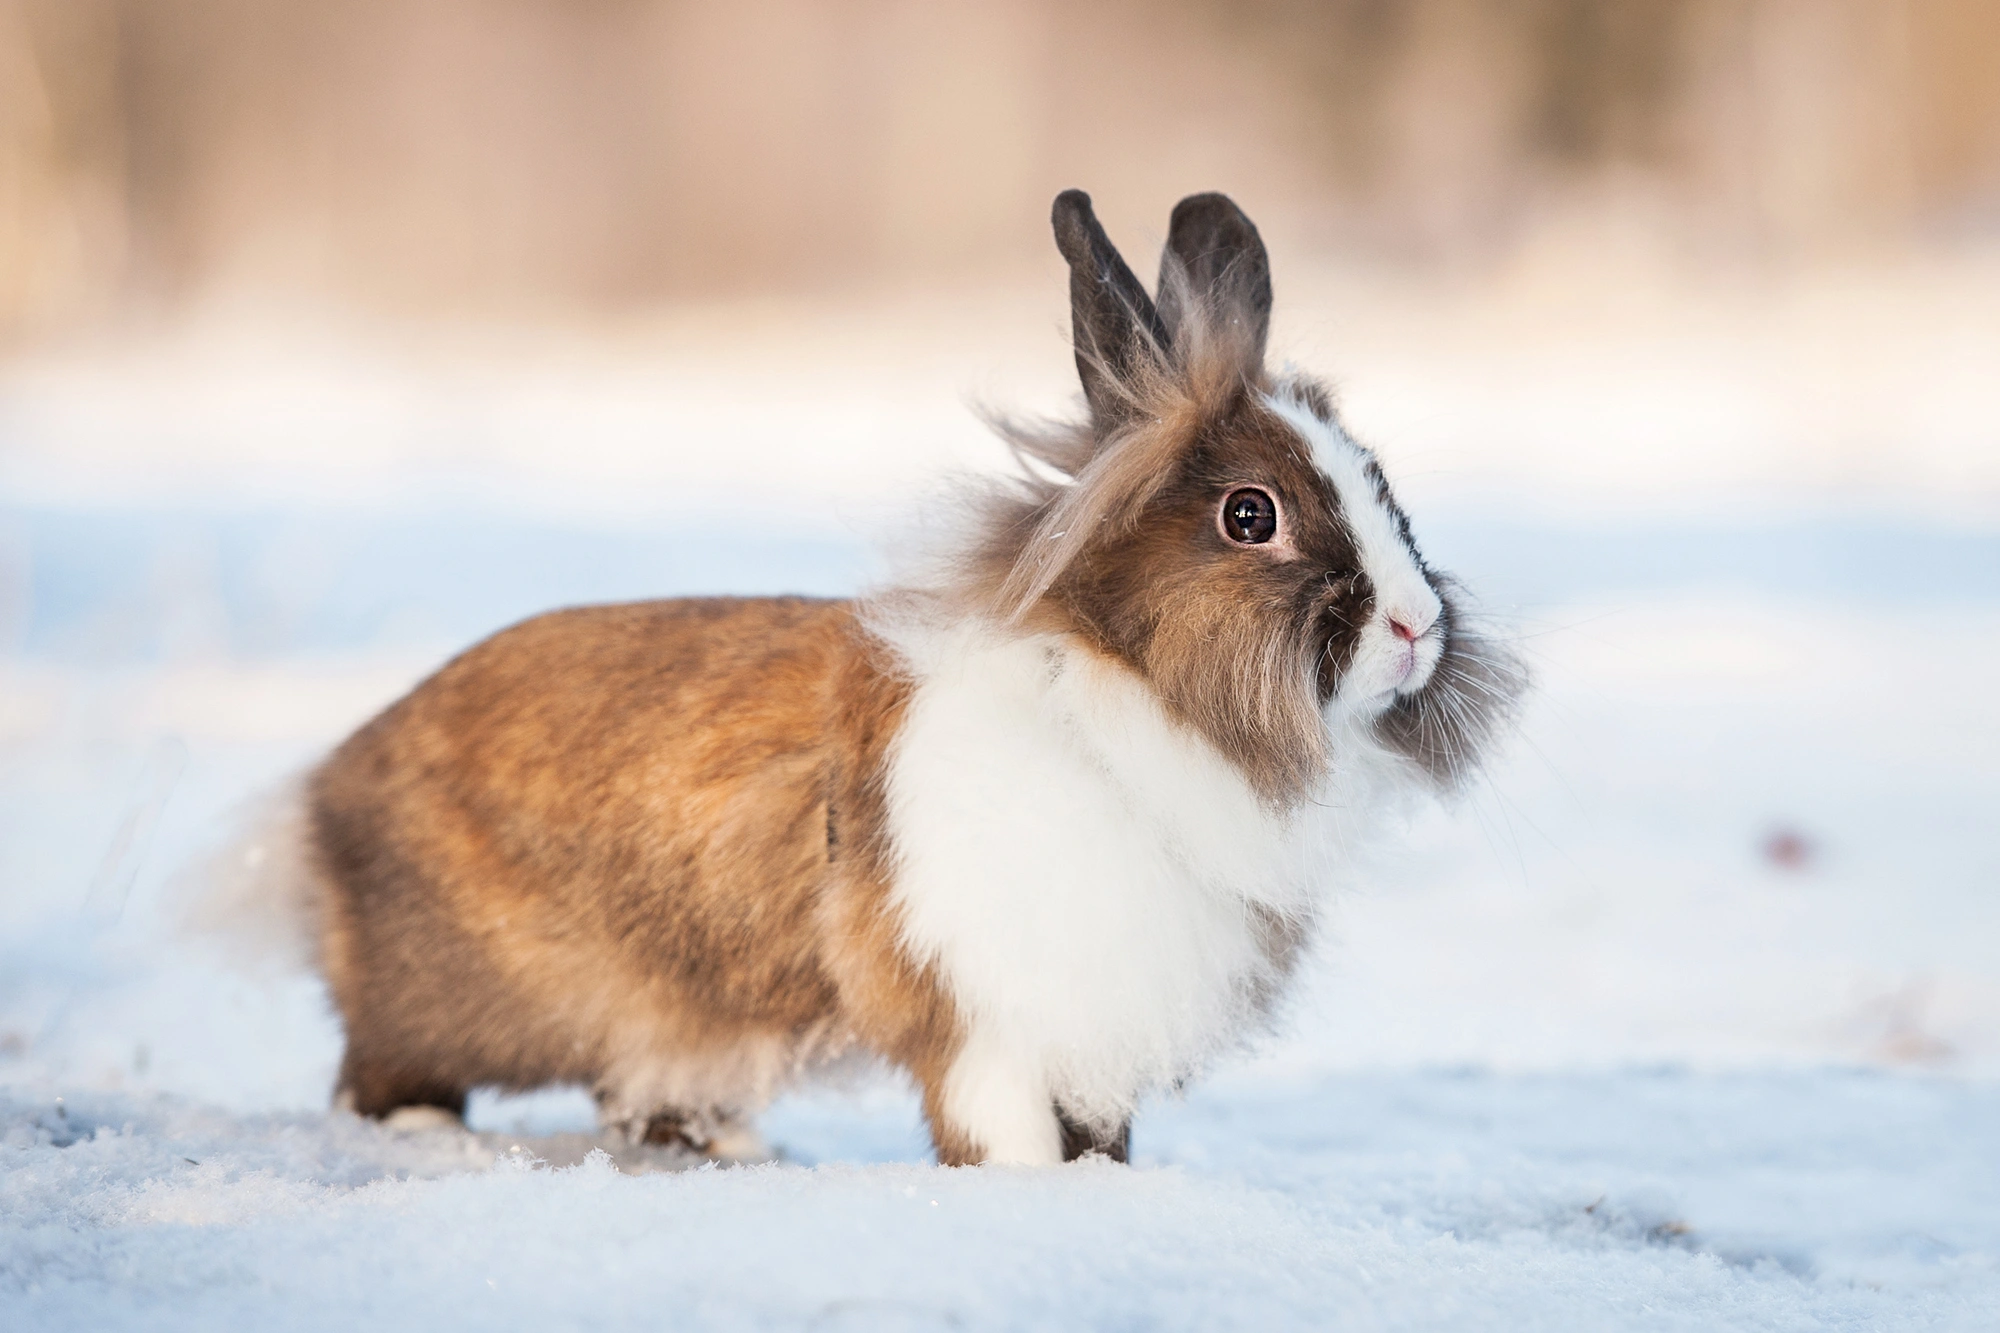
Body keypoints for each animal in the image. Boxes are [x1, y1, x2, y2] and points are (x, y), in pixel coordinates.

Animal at [305, 189, 1525, 1166]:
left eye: (1378, 479)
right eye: (1249, 515)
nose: (1416, 626)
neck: (1115, 702)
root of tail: (329, 782)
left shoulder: (1098, 1030)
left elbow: (1100, 1136)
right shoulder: (981, 1022)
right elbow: (1001, 1131)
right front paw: (1029, 1191)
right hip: (462, 1000)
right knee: (374, 1074)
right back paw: (432, 1131)